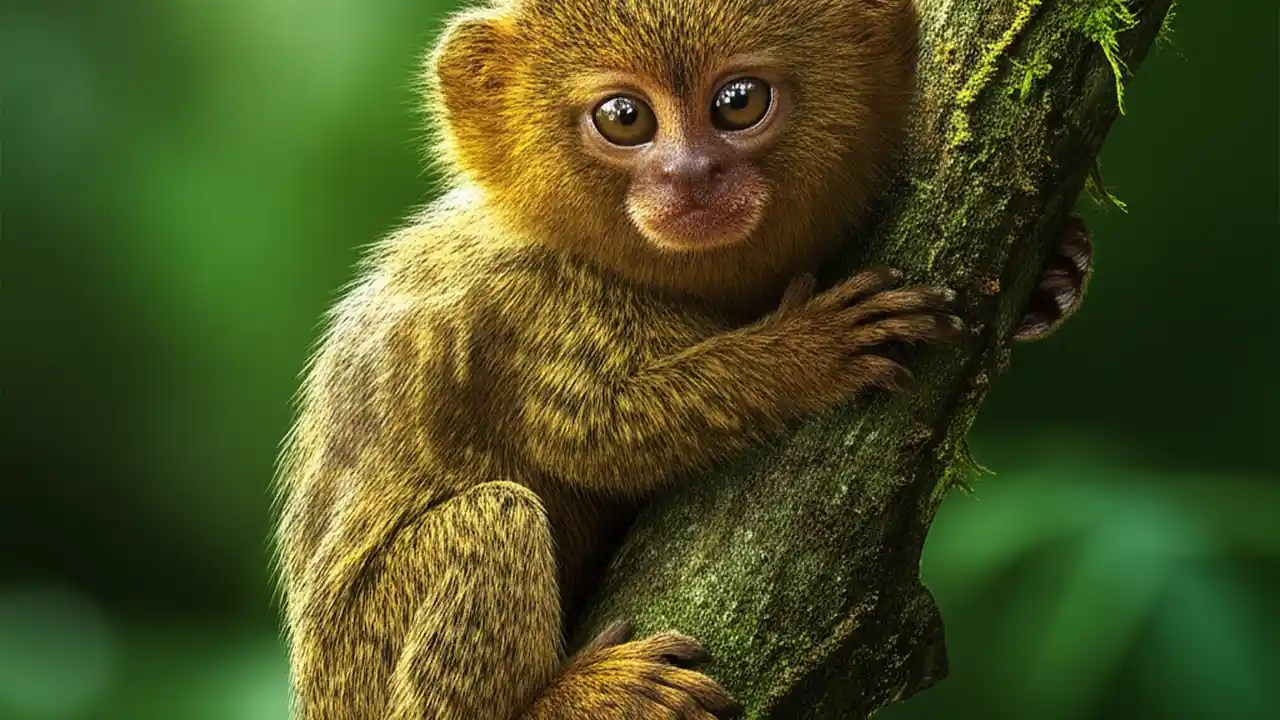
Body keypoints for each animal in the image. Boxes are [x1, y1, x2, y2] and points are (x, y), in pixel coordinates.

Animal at [274, 1, 1092, 718]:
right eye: (624, 118)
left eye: (738, 103)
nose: (691, 175)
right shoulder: (532, 306)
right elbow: (603, 429)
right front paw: (809, 353)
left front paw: (1054, 273)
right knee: (491, 518)